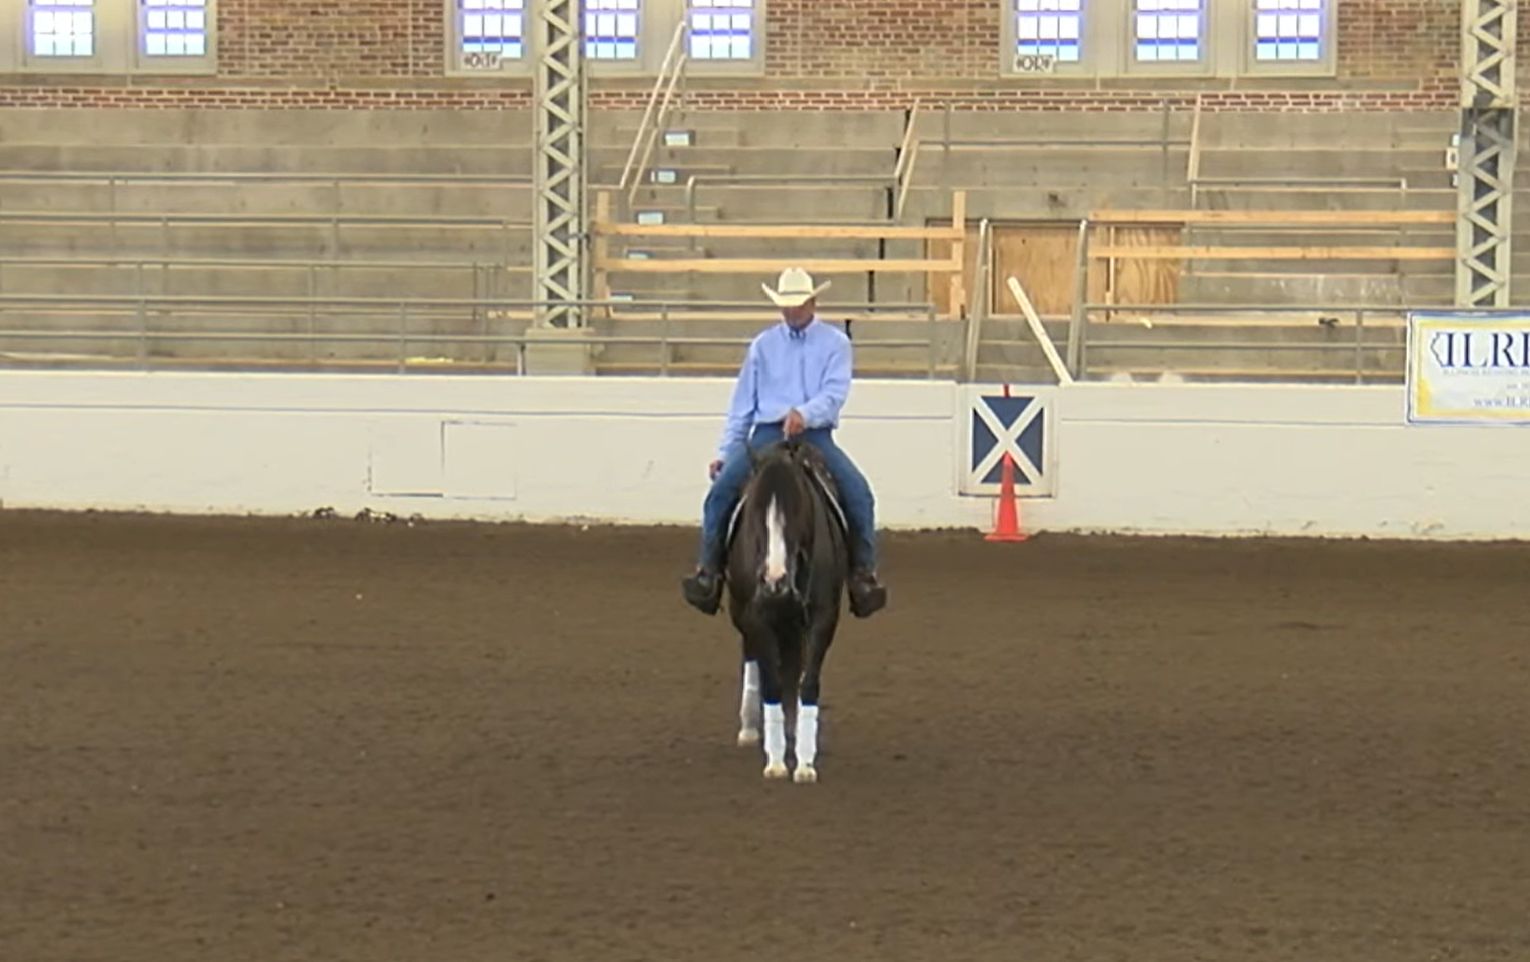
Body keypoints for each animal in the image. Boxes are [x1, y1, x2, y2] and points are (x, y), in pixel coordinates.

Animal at [722, 437, 850, 784]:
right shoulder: (757, 618)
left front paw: (804, 762)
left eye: (798, 509)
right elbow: (772, 684)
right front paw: (777, 761)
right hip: (744, 614)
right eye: (755, 511)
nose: (773, 581)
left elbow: (806, 682)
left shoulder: (823, 619)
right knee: (753, 657)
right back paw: (751, 727)